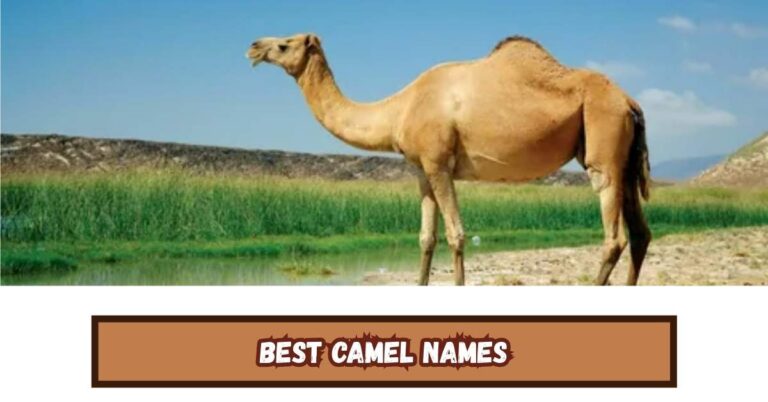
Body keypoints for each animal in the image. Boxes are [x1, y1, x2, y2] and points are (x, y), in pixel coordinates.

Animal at [246, 33, 652, 286]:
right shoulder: (421, 169)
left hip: (603, 140)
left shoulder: (439, 163)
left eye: (283, 44)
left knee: (614, 234)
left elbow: (457, 234)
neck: (400, 108)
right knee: (640, 232)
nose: (253, 47)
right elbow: (427, 237)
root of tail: (630, 101)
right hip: (626, 158)